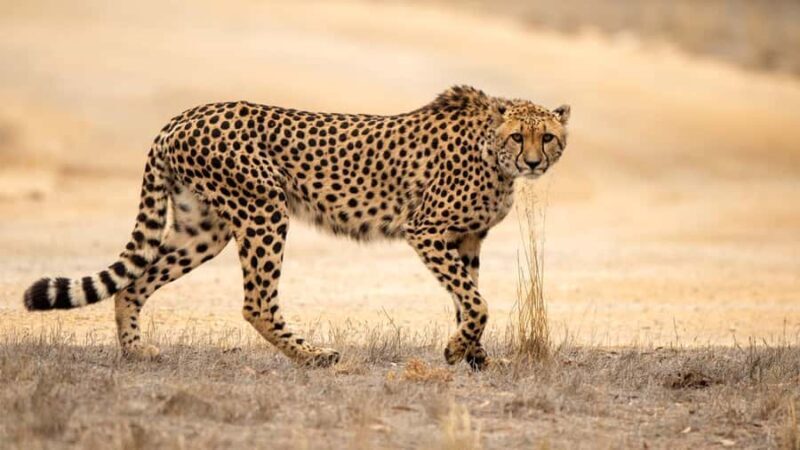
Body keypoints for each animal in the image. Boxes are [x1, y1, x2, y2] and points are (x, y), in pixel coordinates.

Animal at [23, 85, 570, 370]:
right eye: (518, 136)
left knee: (133, 283)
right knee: (256, 303)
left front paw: (473, 356)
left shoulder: (466, 237)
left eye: (548, 136)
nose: (535, 161)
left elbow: (467, 298)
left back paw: (137, 351)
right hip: (265, 209)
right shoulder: (427, 229)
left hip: (204, 229)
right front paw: (460, 350)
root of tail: (182, 117)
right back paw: (313, 355)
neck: (492, 153)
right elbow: (477, 301)